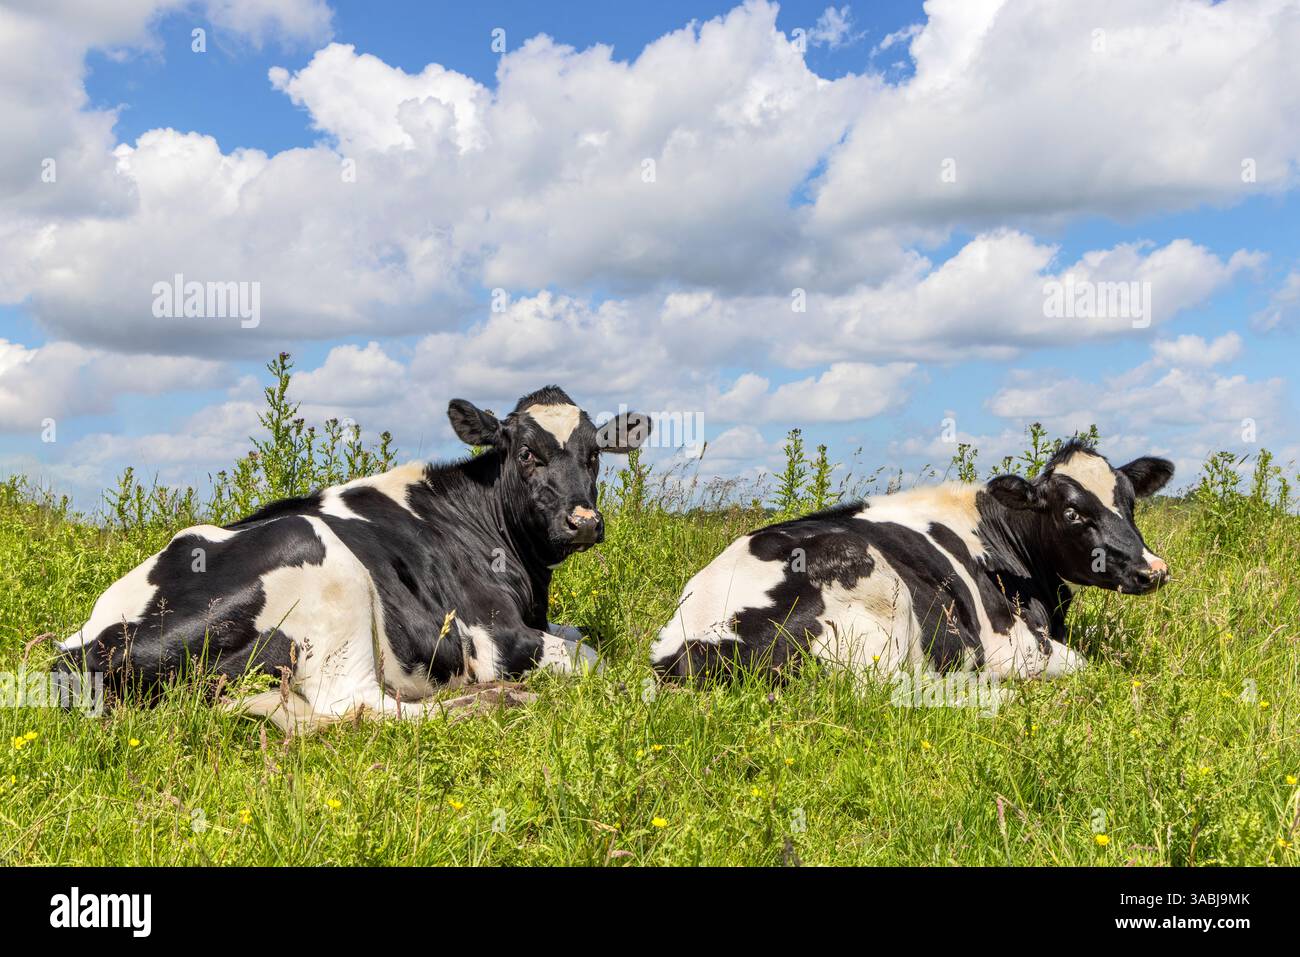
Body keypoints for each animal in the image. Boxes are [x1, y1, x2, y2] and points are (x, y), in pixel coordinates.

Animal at [55, 386, 650, 731]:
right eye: (527, 453)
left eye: (595, 455)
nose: (584, 521)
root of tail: (77, 653)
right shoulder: (495, 639)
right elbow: (591, 657)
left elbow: (577, 634)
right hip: (321, 571)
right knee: (362, 707)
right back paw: (498, 701)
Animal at [651, 441, 1173, 684]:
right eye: (1072, 512)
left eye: (1129, 501)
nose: (1153, 570)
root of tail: (688, 648)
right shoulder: (1015, 645)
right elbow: (1083, 664)